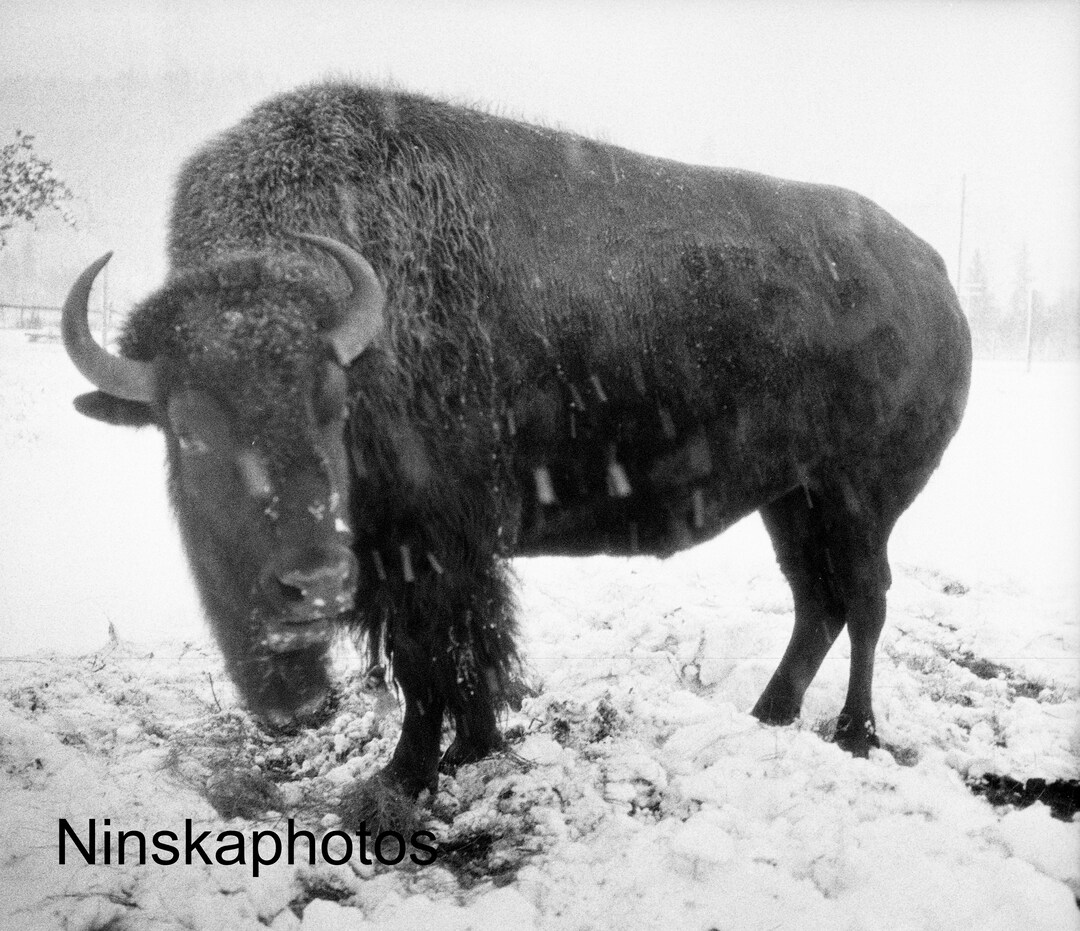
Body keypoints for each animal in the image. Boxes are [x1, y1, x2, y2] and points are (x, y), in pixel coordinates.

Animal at [63, 83, 970, 822]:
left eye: (331, 406)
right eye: (186, 428)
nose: (309, 582)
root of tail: (934, 277)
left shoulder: (434, 550)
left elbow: (436, 661)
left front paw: (408, 774)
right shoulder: (408, 559)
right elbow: (453, 659)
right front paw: (469, 747)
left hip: (858, 499)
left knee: (864, 602)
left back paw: (853, 732)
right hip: (792, 501)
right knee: (818, 603)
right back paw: (769, 713)